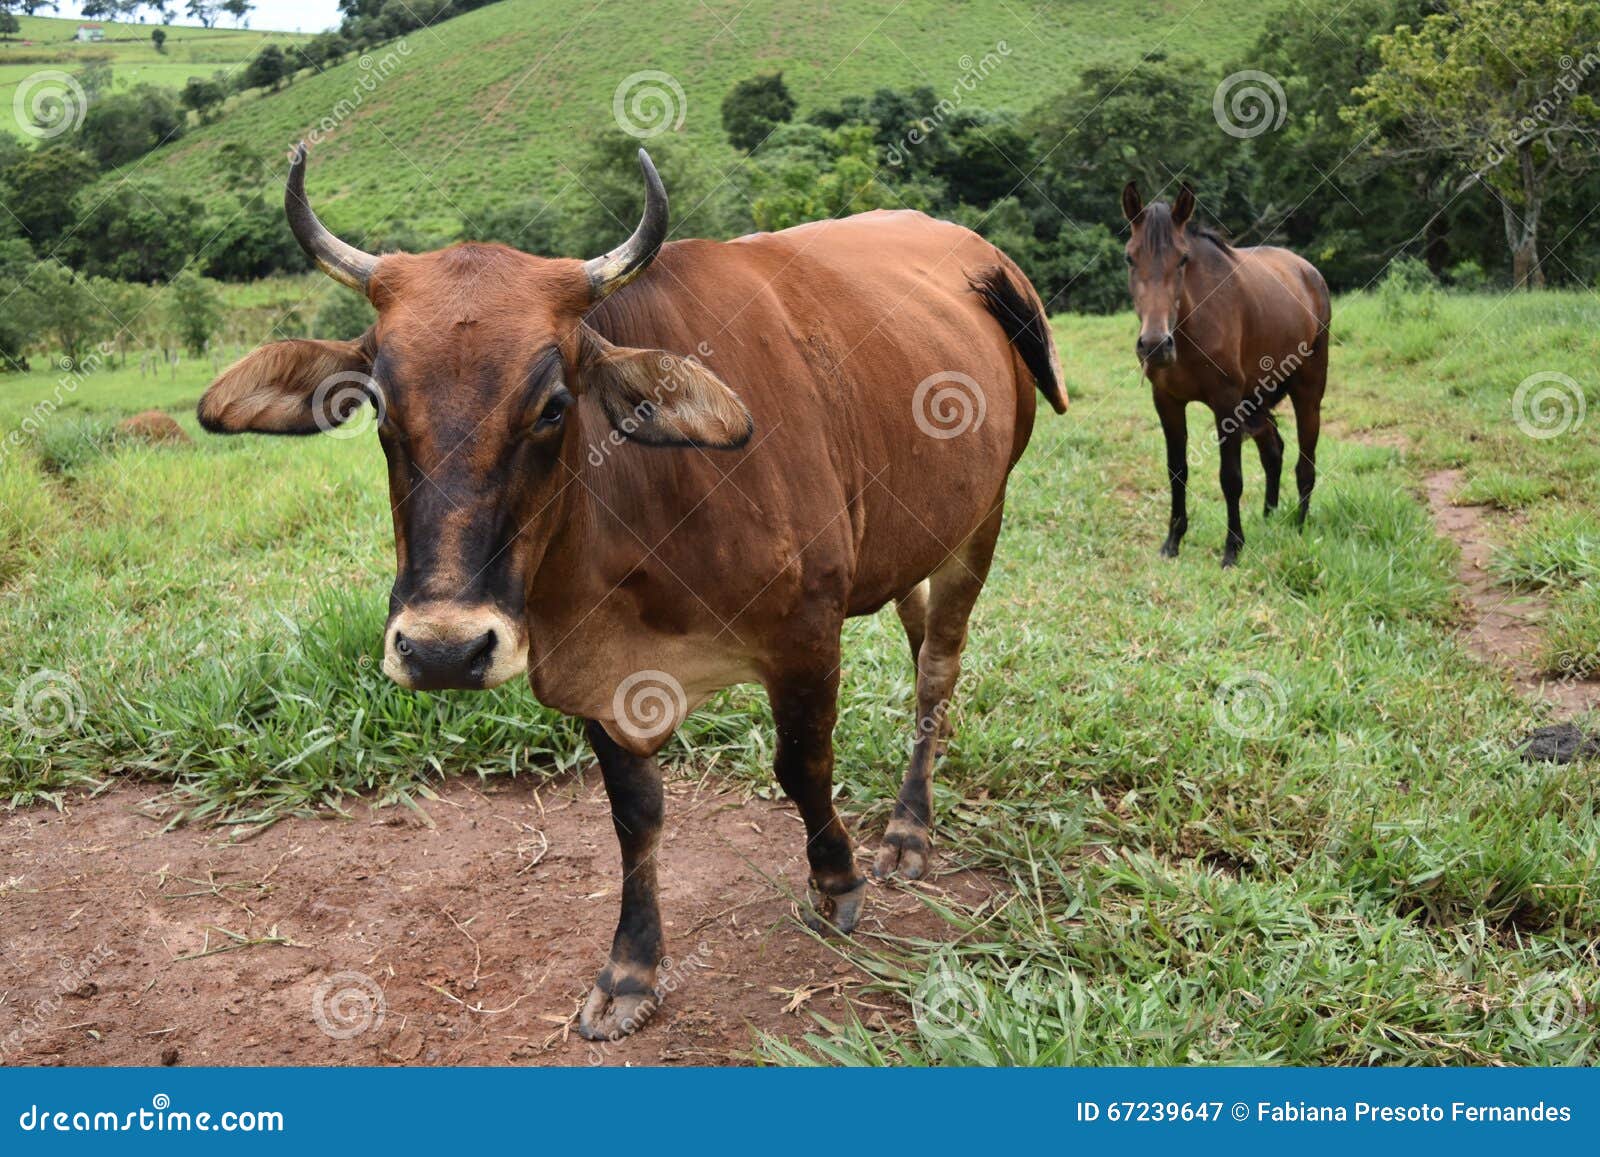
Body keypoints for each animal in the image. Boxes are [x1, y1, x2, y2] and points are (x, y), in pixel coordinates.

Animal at [198, 143, 1067, 1040]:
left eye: (552, 405)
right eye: (378, 406)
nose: (442, 649)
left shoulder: (806, 631)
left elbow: (803, 763)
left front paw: (837, 880)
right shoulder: (602, 669)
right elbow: (635, 814)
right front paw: (631, 967)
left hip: (984, 515)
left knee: (937, 665)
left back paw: (908, 828)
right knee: (920, 631)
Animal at [1121, 182, 1330, 567]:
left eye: (1183, 259)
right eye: (1130, 258)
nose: (1155, 345)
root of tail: (1308, 271)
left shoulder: (1226, 404)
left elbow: (1230, 477)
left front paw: (1233, 548)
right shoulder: (1167, 403)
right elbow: (1177, 471)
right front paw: (1172, 542)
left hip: (1308, 392)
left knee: (1305, 464)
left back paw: (1298, 525)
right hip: (1257, 399)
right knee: (1273, 449)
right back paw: (1268, 517)